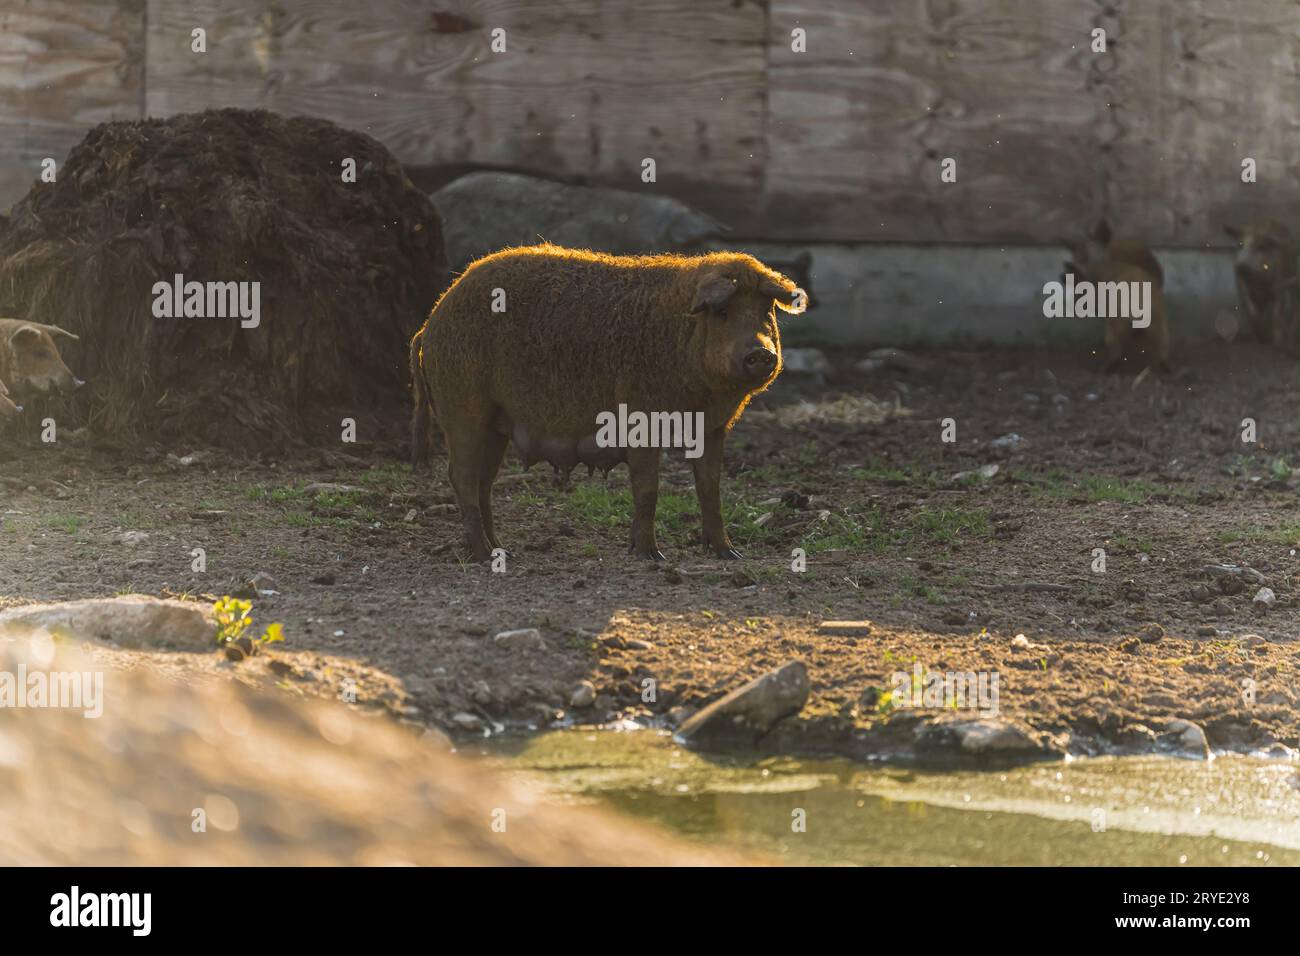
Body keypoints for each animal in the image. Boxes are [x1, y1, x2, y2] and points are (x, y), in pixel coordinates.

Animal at [409, 244, 805, 561]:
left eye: (766, 311)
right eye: (722, 313)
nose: (761, 353)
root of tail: (429, 323)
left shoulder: (713, 428)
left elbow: (711, 489)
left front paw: (730, 554)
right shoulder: (642, 415)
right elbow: (647, 488)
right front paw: (650, 556)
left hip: (495, 424)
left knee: (484, 481)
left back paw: (502, 550)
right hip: (462, 408)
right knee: (461, 476)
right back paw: (481, 555)